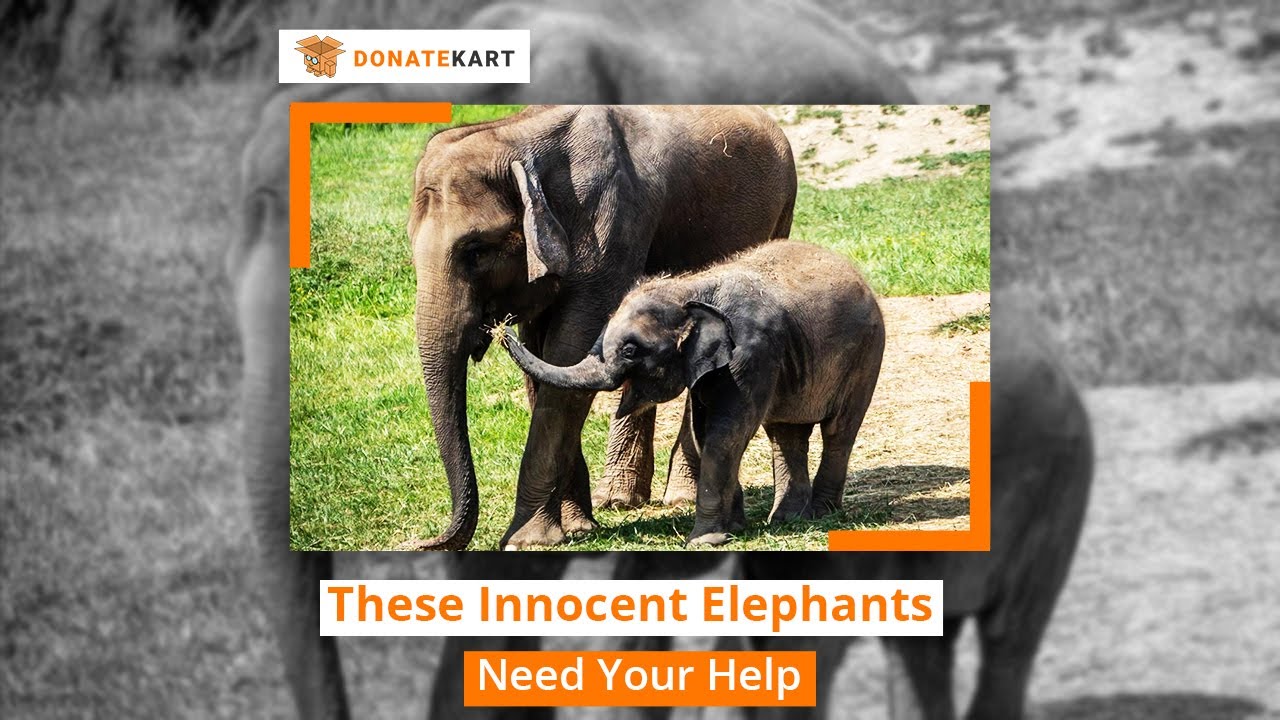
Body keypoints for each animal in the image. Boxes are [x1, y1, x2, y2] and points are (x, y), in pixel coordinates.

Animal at [501, 241, 886, 545]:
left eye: (630, 350)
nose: (501, 329)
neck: (690, 289)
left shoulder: (752, 353)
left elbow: (725, 433)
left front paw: (704, 541)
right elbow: (706, 434)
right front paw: (734, 528)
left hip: (866, 356)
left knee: (838, 431)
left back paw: (822, 513)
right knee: (785, 434)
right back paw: (789, 518)